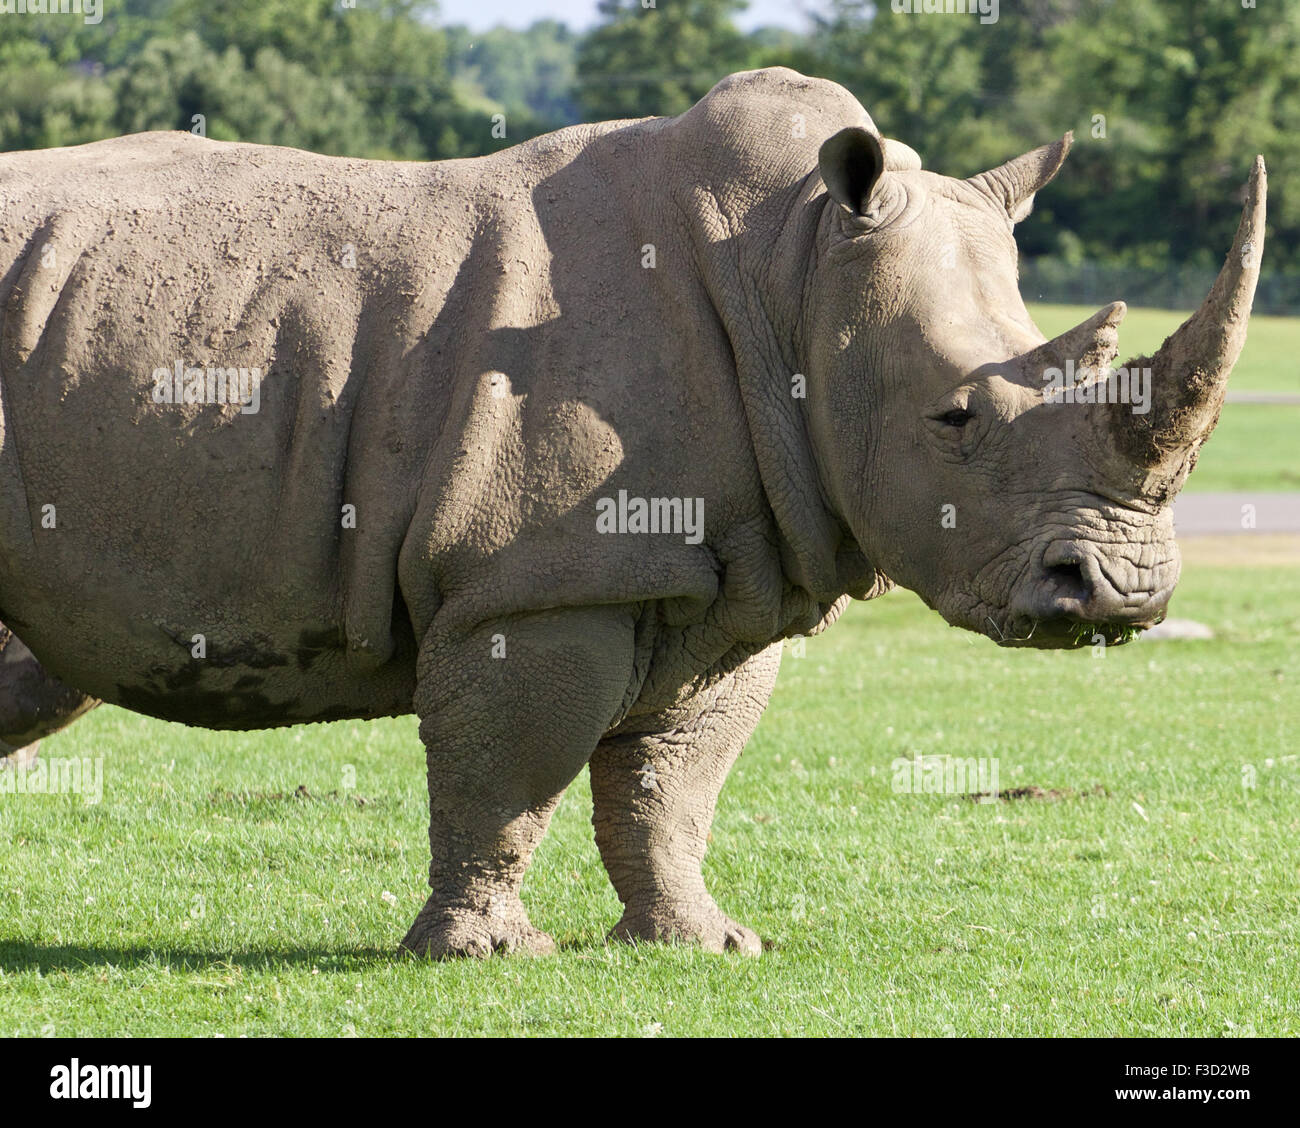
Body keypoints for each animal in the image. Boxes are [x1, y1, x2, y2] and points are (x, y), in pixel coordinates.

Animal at [0, 68, 1265, 957]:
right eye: (954, 420)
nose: (1122, 594)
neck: (794, 272)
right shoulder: (535, 580)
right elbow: (508, 773)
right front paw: (487, 955)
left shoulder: (739, 569)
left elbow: (673, 785)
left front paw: (709, 944)